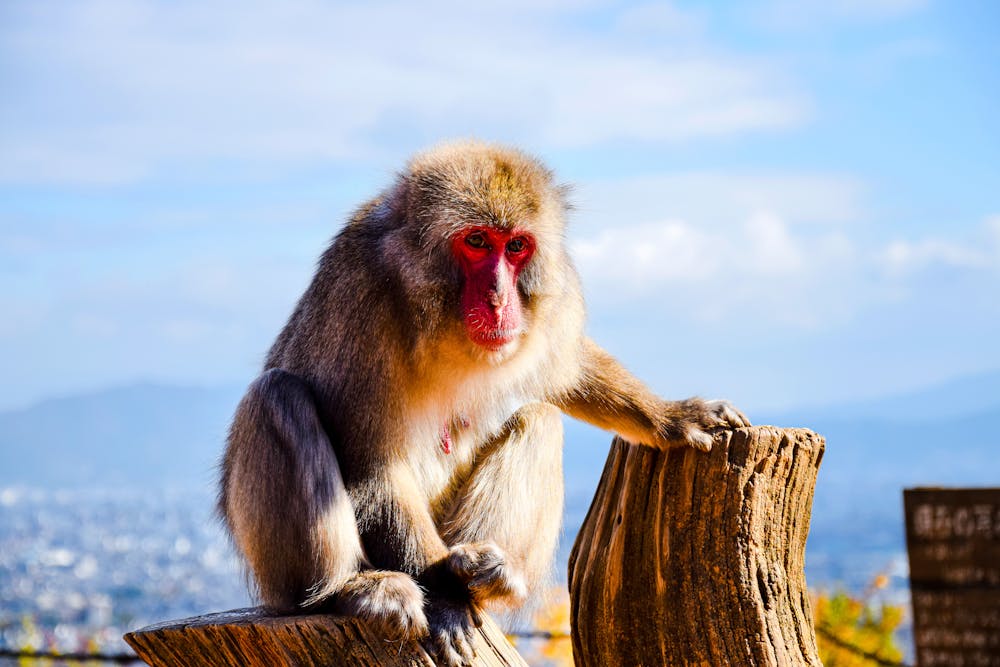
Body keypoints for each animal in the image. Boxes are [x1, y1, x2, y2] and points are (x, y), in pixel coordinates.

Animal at [218, 140, 749, 666]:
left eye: (515, 246)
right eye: (476, 242)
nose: (498, 299)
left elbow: (563, 366)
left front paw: (670, 417)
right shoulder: (357, 293)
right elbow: (369, 461)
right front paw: (443, 597)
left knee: (539, 418)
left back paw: (487, 578)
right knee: (277, 397)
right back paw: (349, 588)